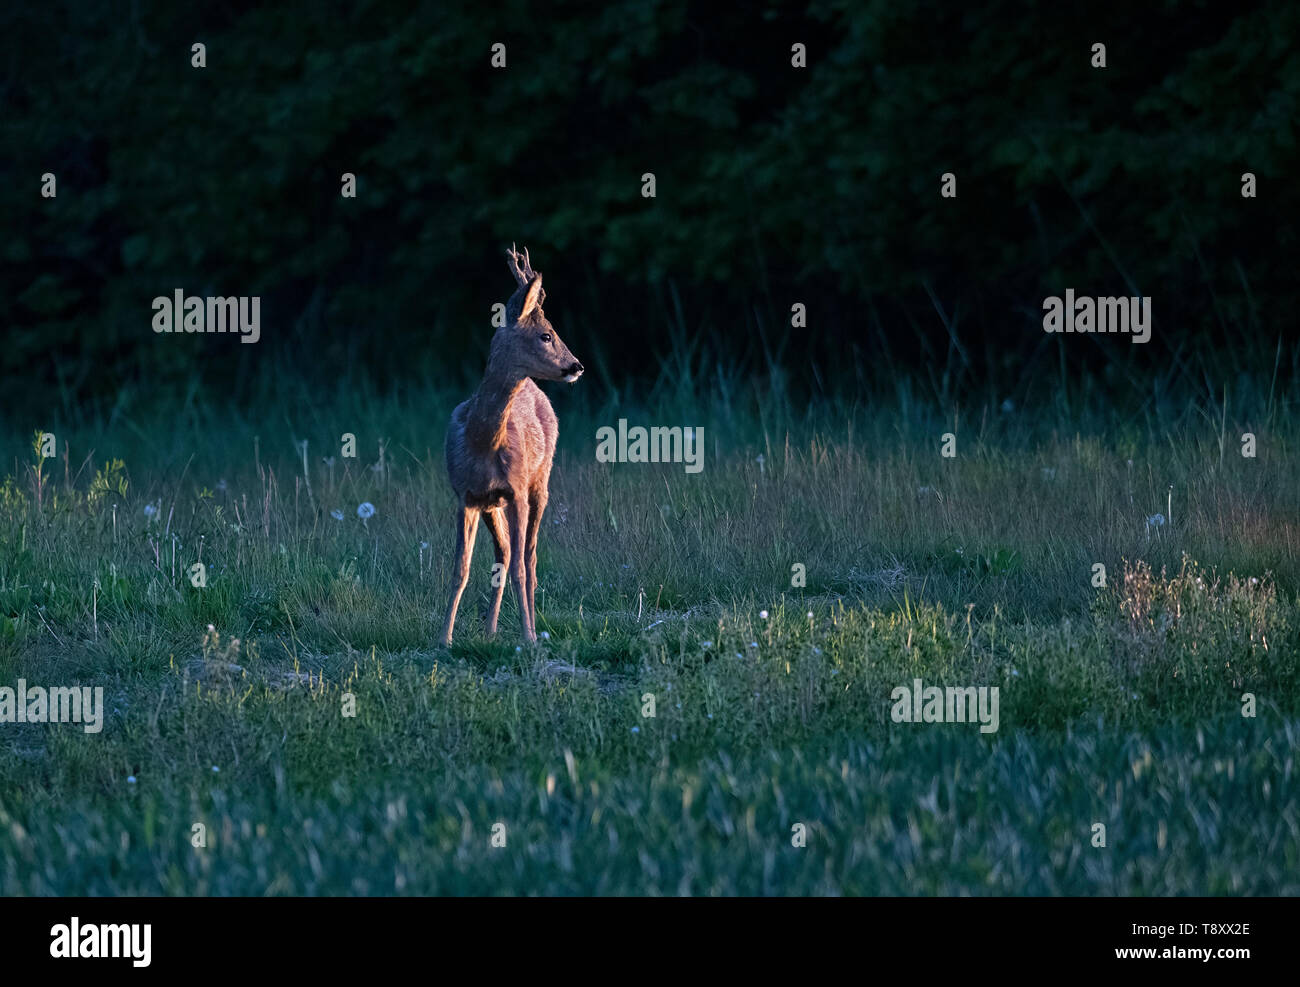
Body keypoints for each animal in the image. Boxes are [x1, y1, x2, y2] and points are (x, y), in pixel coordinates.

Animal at [439, 245, 584, 646]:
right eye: (547, 335)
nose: (577, 366)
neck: (481, 441)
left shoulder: (517, 489)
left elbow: (521, 567)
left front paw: (529, 637)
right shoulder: (465, 496)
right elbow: (461, 569)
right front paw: (444, 639)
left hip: (541, 481)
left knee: (529, 559)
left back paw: (531, 628)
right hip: (493, 504)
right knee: (504, 552)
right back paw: (489, 630)